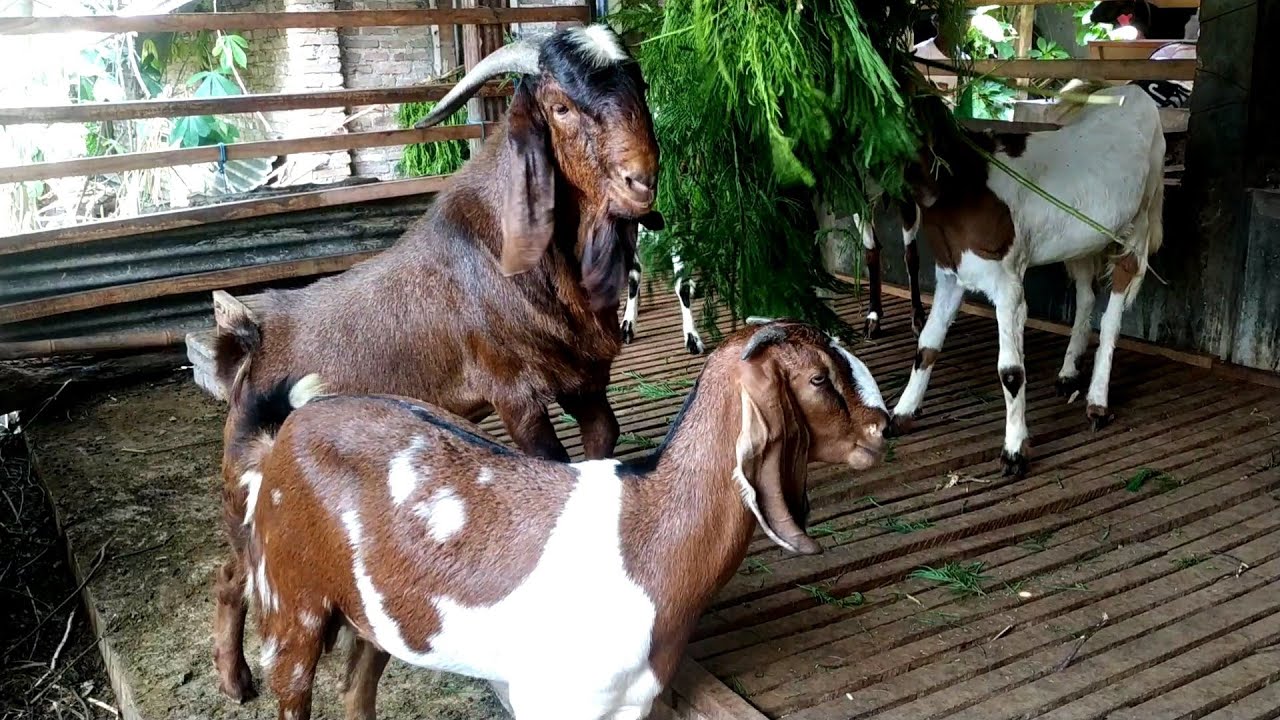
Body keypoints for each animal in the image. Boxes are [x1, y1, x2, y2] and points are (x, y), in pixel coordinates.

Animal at [211, 23, 661, 702]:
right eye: (560, 107)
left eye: (640, 87)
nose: (643, 181)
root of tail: (252, 339)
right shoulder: (512, 389)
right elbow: (548, 464)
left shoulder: (584, 377)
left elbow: (601, 441)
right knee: (231, 576)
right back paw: (236, 679)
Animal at [221, 320, 888, 720]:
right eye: (820, 378)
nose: (883, 427)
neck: (645, 534)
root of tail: (288, 429)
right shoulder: (556, 697)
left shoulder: (628, 702)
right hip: (292, 600)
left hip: (375, 618)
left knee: (357, 689)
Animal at [888, 84, 1165, 478]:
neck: (967, 182)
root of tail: (1135, 90)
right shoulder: (950, 276)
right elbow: (926, 345)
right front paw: (902, 413)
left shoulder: (1007, 284)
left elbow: (1010, 370)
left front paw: (1015, 450)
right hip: (1081, 238)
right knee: (1085, 295)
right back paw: (1068, 373)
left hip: (1140, 218)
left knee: (1116, 301)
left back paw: (1097, 402)